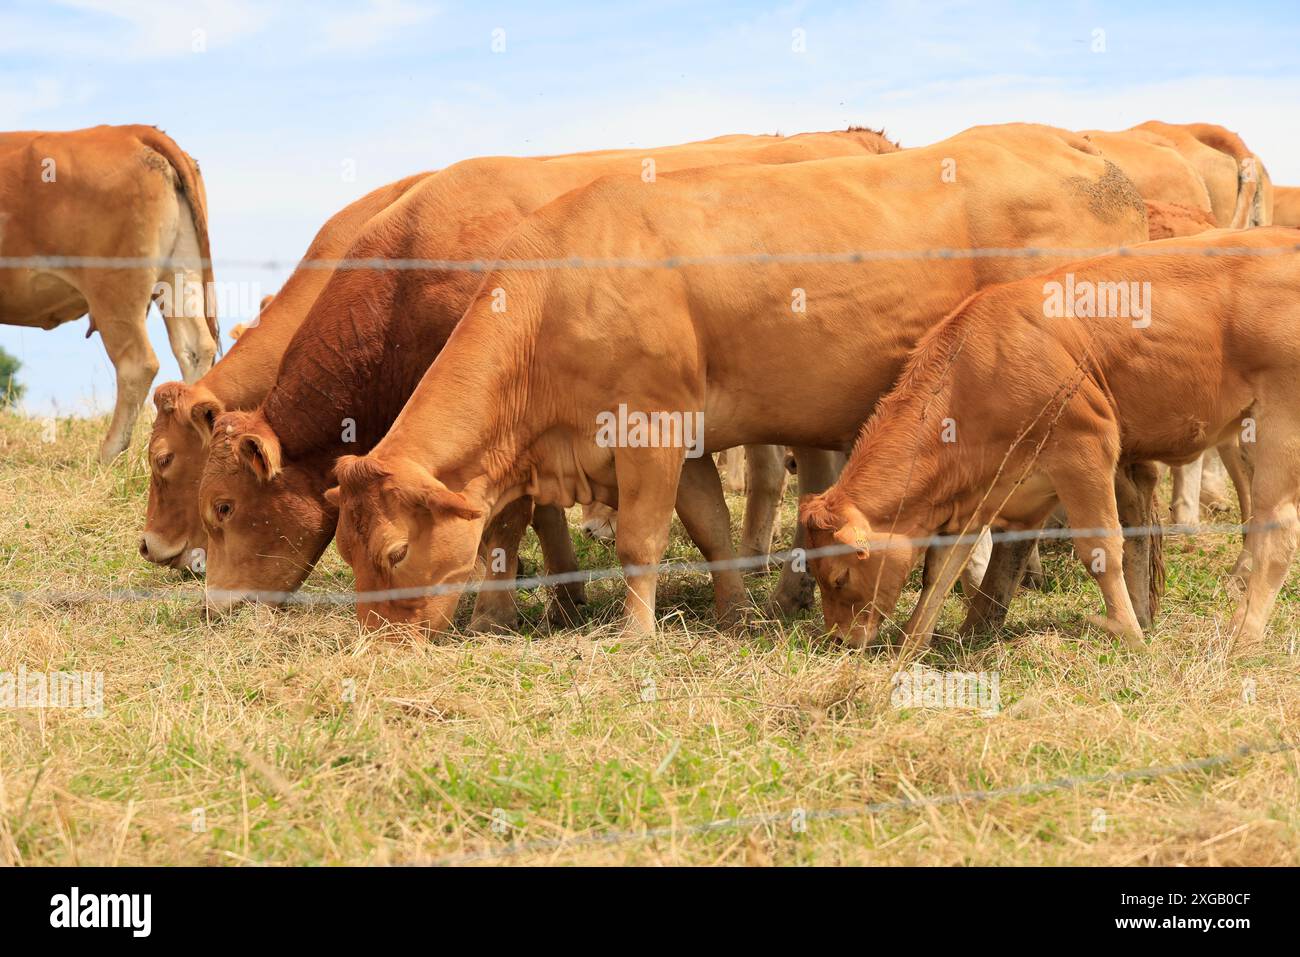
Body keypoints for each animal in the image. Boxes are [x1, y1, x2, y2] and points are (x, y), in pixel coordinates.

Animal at [0, 125, 217, 462]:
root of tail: (131, 131)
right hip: (180, 275)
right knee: (195, 349)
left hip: (115, 293)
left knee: (138, 364)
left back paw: (109, 452)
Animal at [325, 123, 1149, 638]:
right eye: (349, 555)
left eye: (394, 554)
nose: (379, 647)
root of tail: (1080, 150)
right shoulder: (686, 437)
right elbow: (710, 528)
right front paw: (733, 614)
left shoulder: (648, 427)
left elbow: (642, 538)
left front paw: (634, 633)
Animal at [799, 227, 1300, 660]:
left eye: (839, 577)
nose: (840, 641)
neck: (975, 372)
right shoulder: (988, 492)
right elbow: (941, 573)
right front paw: (907, 651)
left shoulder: (1084, 449)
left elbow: (1102, 550)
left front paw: (1130, 636)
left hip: (1280, 425)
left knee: (1277, 530)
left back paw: (1242, 635)